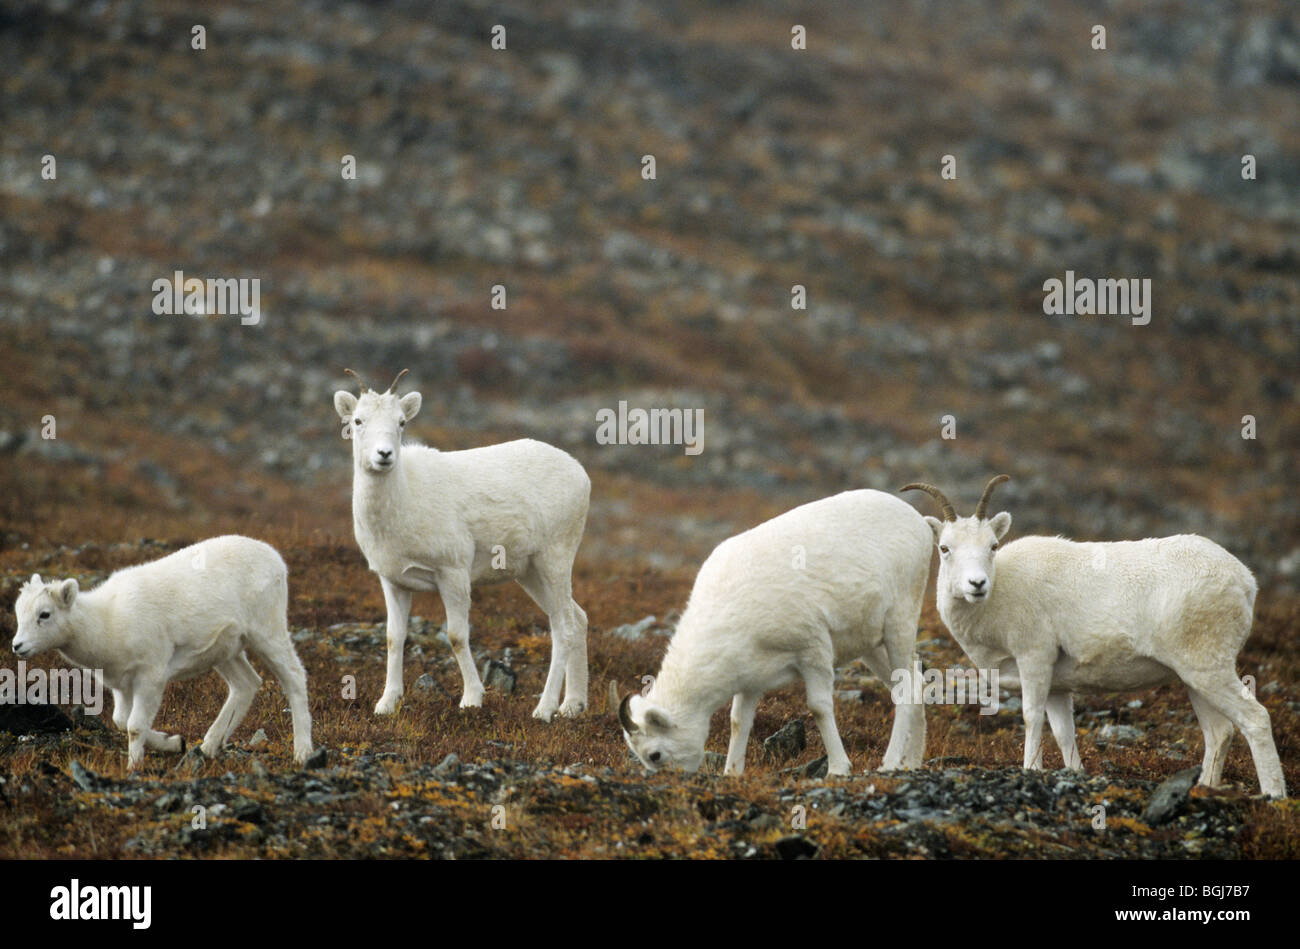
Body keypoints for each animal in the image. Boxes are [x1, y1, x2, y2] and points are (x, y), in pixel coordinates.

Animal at [11, 535, 312, 769]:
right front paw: (176, 743)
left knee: (295, 677)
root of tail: (275, 558)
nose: (17, 646)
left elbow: (134, 726)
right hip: (225, 652)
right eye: (18, 612)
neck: (107, 621)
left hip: (267, 633)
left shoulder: (150, 677)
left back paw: (302, 753)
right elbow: (121, 721)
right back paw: (208, 747)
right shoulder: (122, 685)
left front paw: (134, 767)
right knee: (246, 685)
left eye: (44, 614)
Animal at [333, 368, 591, 721]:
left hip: (555, 560)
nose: (384, 455)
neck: (405, 499)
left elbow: (456, 636)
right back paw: (572, 706)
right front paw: (386, 704)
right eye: (357, 421)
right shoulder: (394, 582)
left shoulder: (452, 574)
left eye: (401, 422)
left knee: (563, 629)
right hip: (530, 573)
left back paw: (544, 709)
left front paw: (471, 699)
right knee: (577, 619)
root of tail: (580, 473)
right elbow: (393, 638)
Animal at [616, 489, 931, 777]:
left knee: (905, 687)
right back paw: (911, 763)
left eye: (654, 755)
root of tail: (921, 522)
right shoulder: (750, 681)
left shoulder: (813, 651)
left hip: (899, 625)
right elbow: (738, 721)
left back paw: (889, 763)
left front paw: (838, 769)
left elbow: (818, 707)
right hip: (872, 647)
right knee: (911, 685)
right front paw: (732, 773)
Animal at [902, 475, 1286, 798]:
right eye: (945, 548)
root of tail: (1245, 581)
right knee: (1220, 732)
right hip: (1195, 680)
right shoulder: (1058, 687)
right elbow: (1063, 733)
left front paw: (1030, 769)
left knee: (1255, 719)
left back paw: (1273, 796)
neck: (1002, 592)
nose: (977, 584)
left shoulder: (1034, 661)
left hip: (1209, 669)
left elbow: (1030, 717)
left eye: (993, 545)